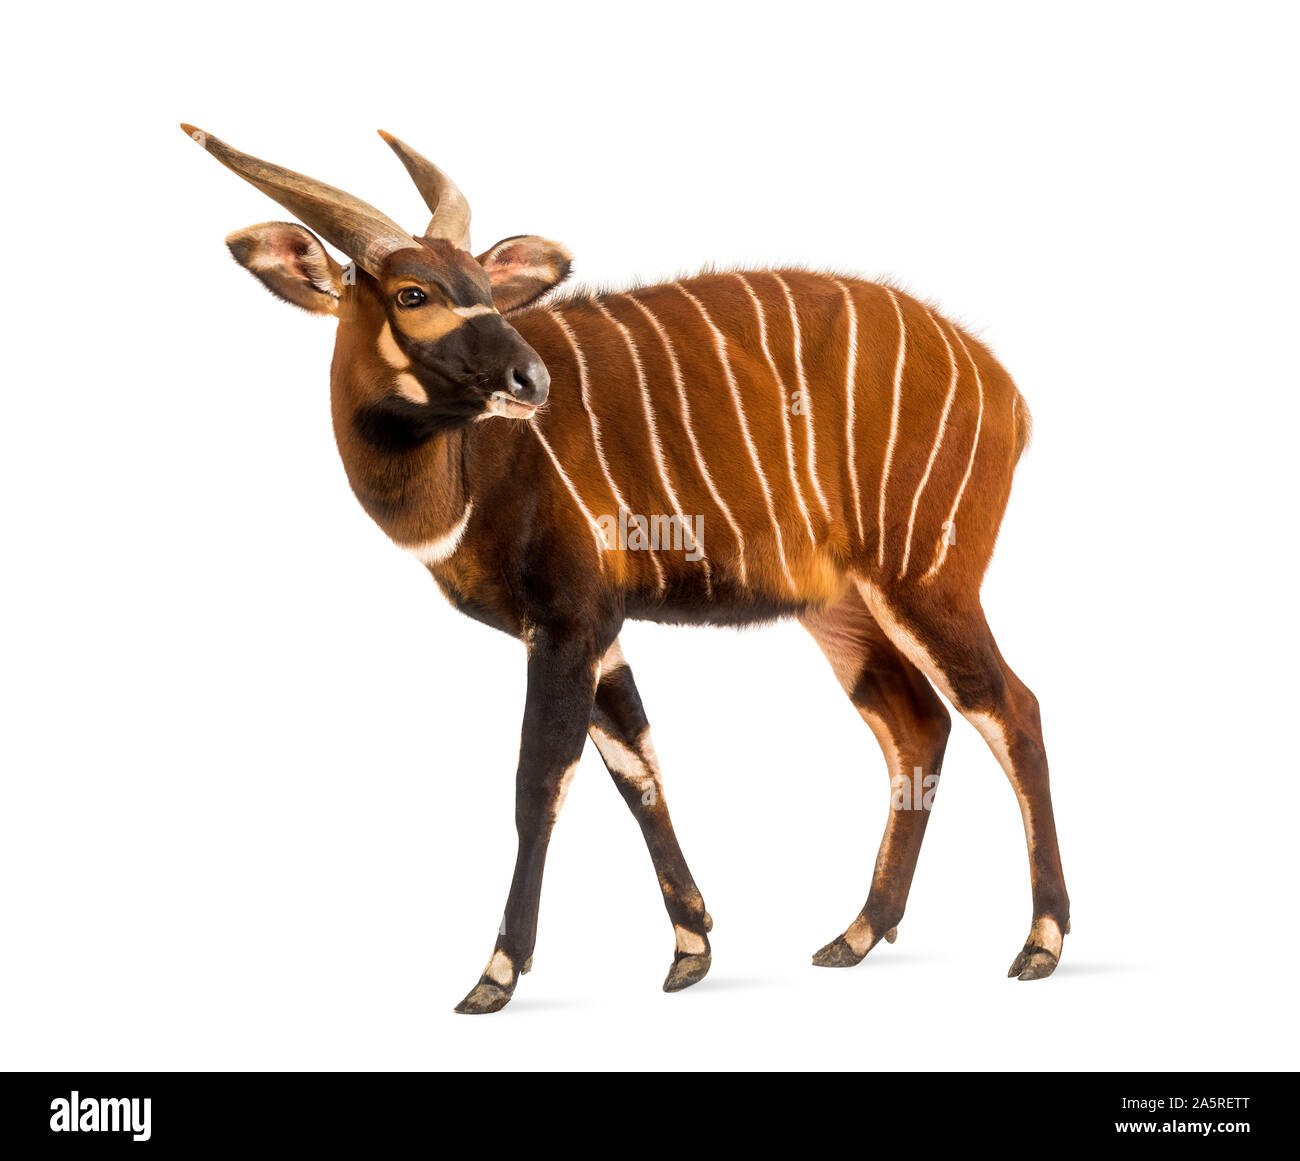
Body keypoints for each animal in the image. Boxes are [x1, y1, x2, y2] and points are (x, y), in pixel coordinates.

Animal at [180, 124, 1069, 1014]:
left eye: (485, 290)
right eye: (412, 293)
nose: (529, 379)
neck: (470, 466)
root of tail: (1007, 389)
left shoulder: (567, 620)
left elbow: (539, 780)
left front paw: (495, 974)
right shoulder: (596, 626)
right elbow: (636, 769)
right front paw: (691, 949)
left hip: (926, 579)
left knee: (1011, 707)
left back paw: (1040, 941)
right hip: (840, 606)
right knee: (918, 723)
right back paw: (855, 933)